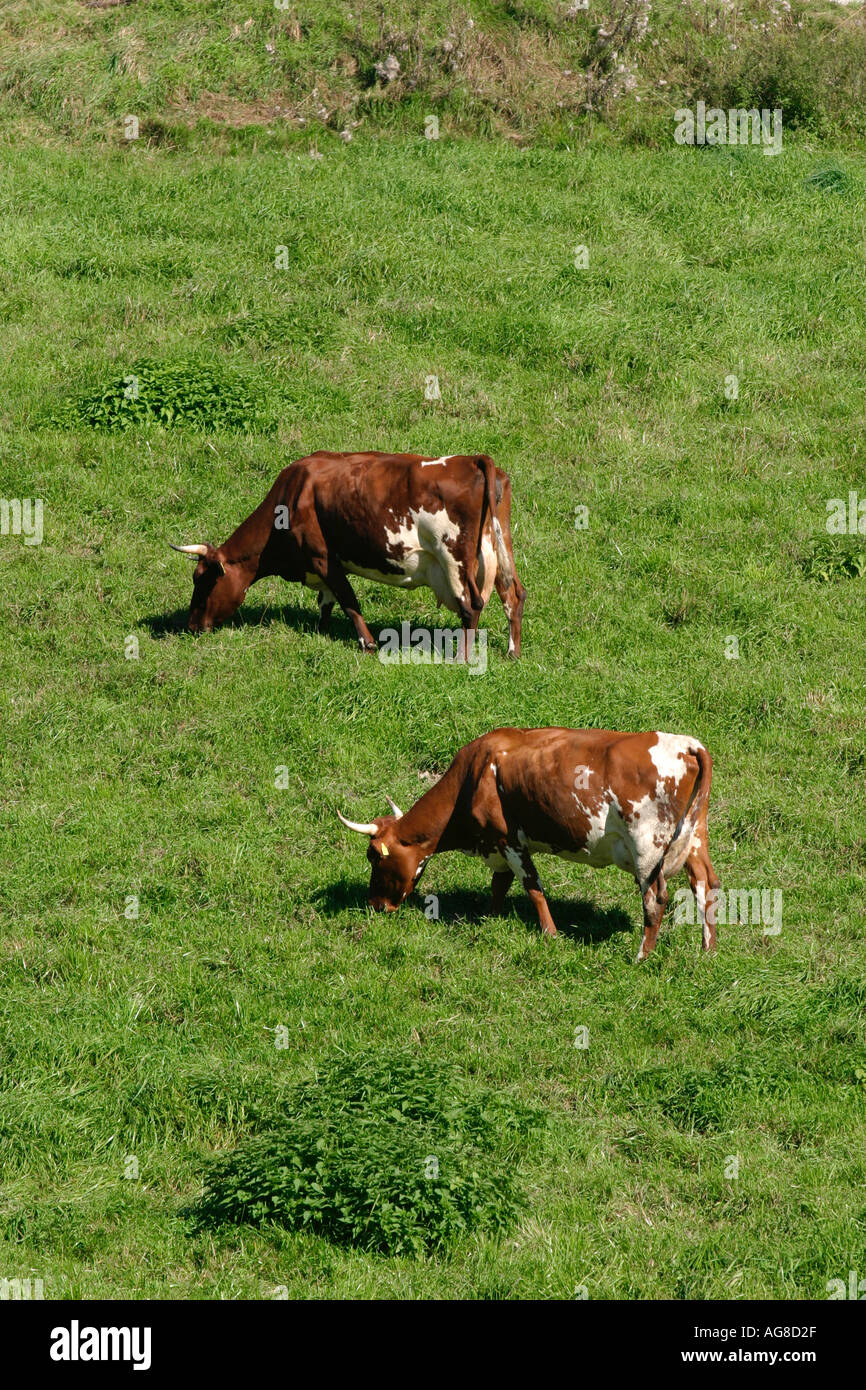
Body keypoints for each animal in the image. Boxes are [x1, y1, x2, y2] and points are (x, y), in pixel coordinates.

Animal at [170, 451, 525, 657]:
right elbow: (326, 601)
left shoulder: (322, 556)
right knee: (514, 595)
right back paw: (512, 652)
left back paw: (463, 658)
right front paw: (320, 631)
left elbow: (348, 600)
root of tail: (474, 459)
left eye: (203, 581)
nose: (191, 626)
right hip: (498, 549)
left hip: (454, 558)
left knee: (472, 605)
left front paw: (367, 643)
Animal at [337, 727, 720, 962]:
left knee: (655, 897)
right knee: (706, 884)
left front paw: (550, 934)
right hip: (695, 837)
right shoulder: (497, 844)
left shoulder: (509, 840)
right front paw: (490, 918)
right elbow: (499, 884)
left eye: (374, 857)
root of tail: (687, 744)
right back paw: (708, 951)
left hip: (647, 847)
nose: (375, 905)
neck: (475, 772)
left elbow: (532, 887)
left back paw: (641, 956)